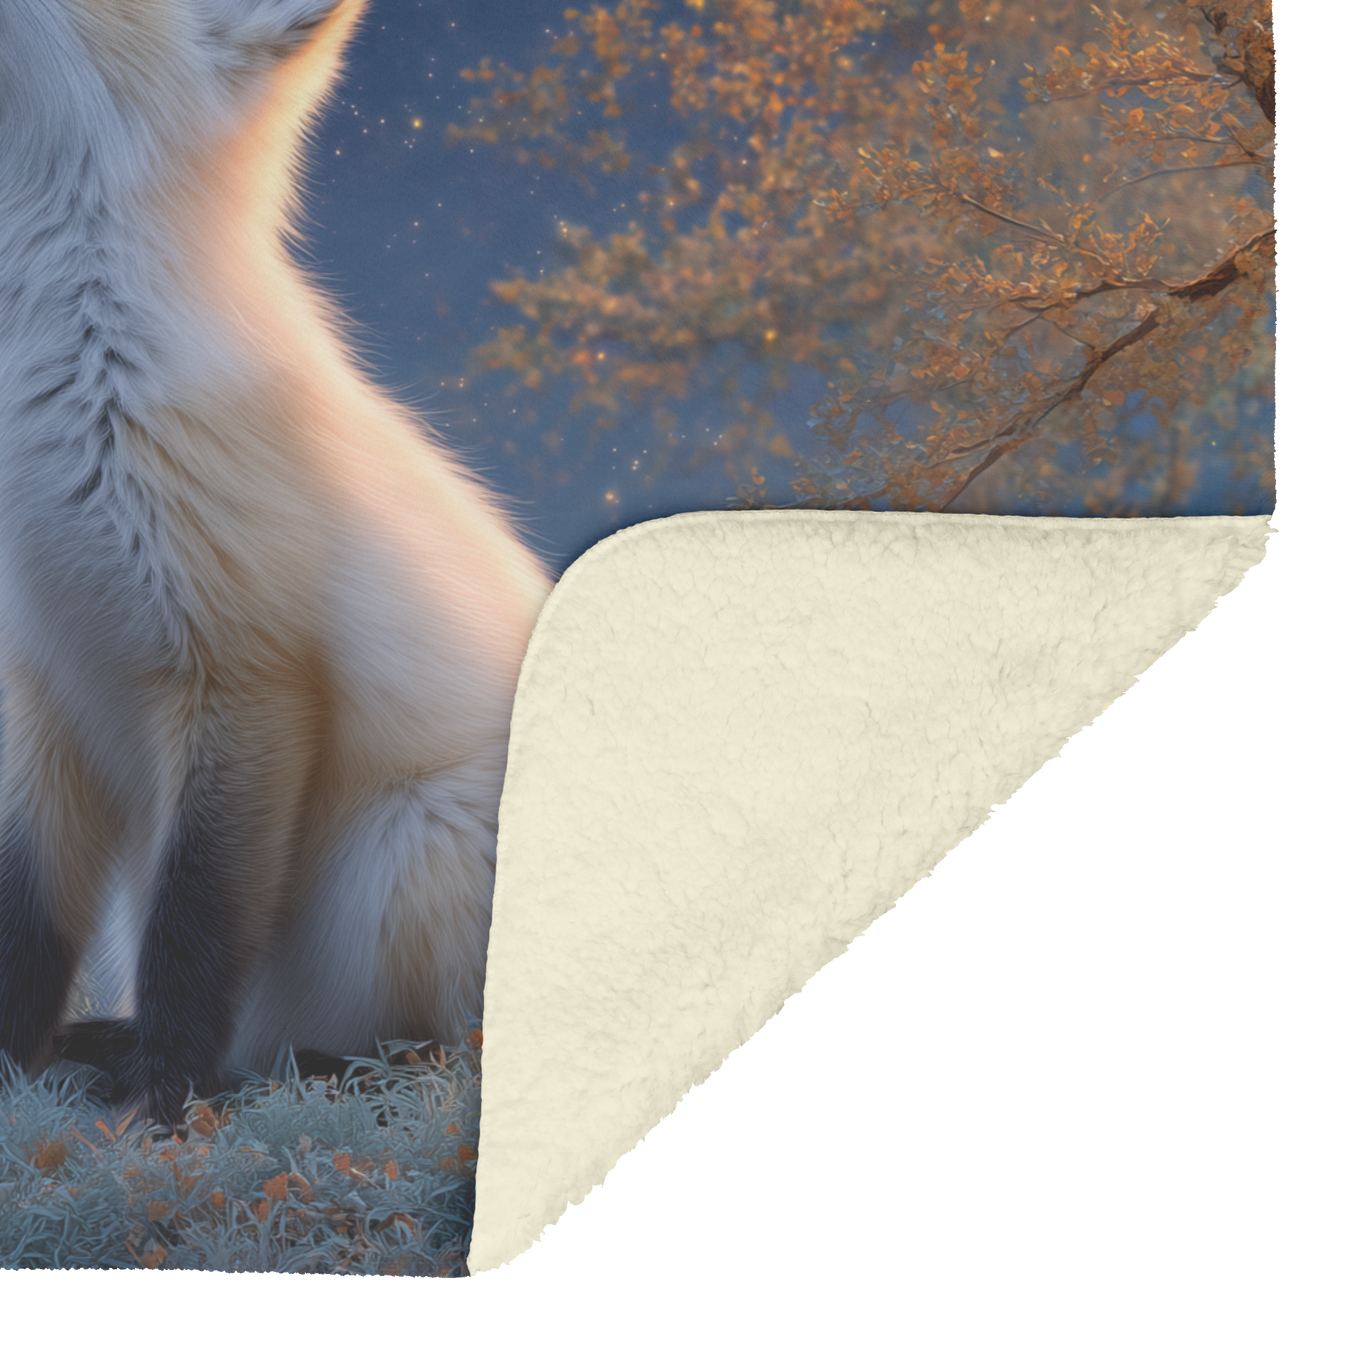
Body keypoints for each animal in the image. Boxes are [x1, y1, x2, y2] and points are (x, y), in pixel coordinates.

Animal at [0, 0, 552, 1129]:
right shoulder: (44, 673)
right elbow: (26, 926)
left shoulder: (240, 669)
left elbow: (196, 929)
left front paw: (163, 1098)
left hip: (413, 844)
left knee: (449, 1054)